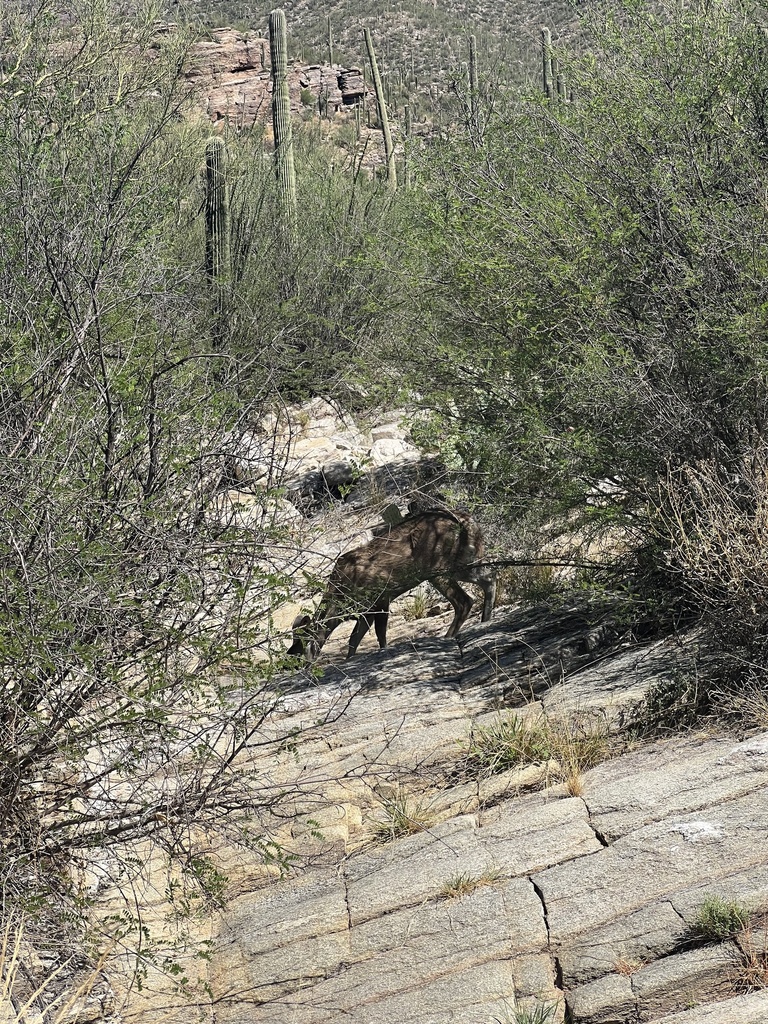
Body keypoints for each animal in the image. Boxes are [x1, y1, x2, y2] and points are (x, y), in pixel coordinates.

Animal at [287, 509, 496, 664]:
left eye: (301, 641)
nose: (290, 657)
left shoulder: (380, 599)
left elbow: (379, 635)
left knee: (464, 600)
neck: (340, 598)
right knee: (490, 576)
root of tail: (467, 524)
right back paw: (485, 620)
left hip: (438, 568)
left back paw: (448, 636)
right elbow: (354, 639)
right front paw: (349, 659)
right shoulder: (368, 610)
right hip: (464, 560)